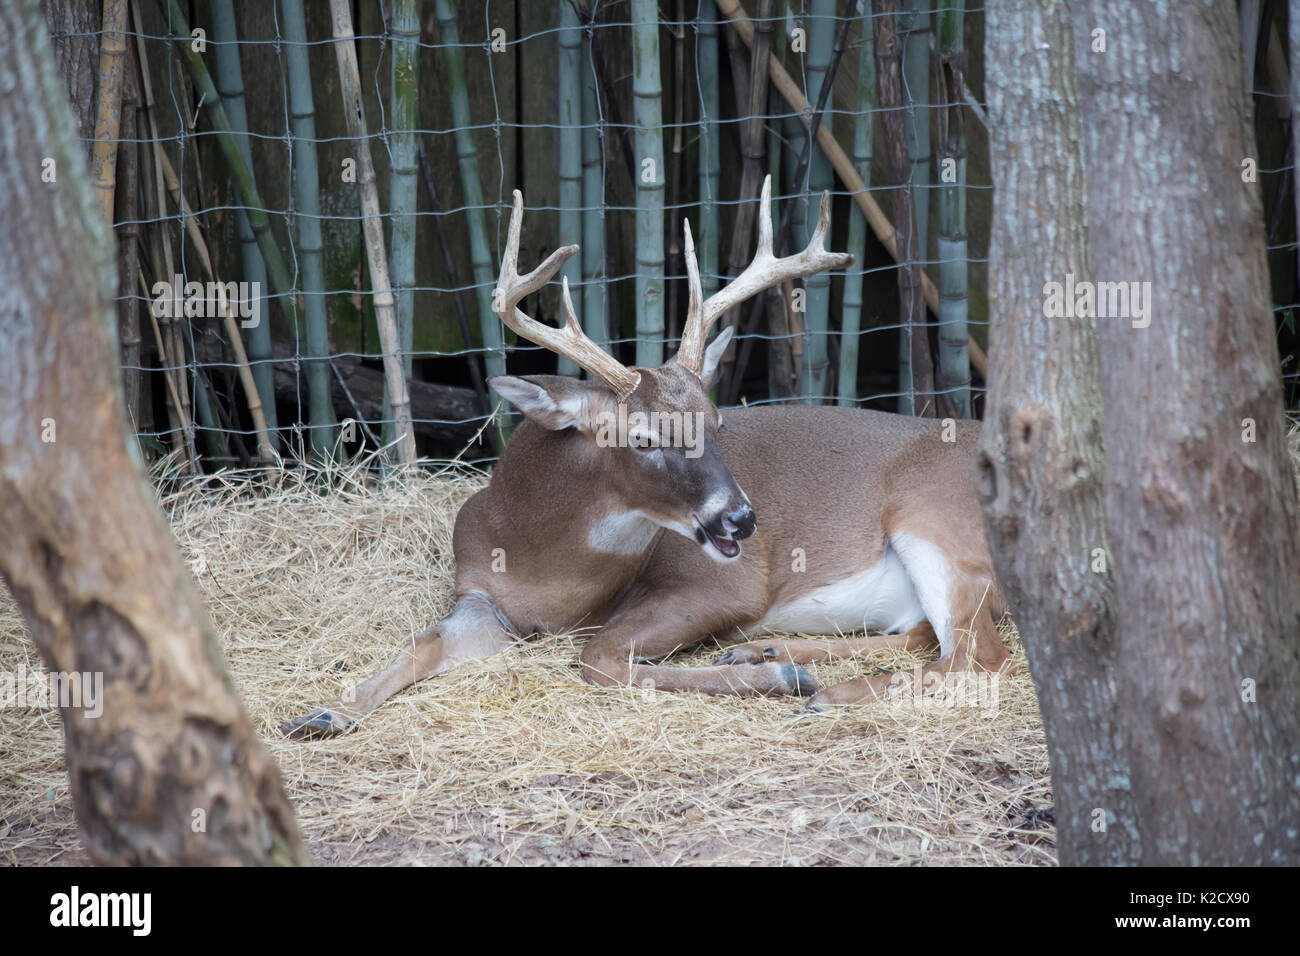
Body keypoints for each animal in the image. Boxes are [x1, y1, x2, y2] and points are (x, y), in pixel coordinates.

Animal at [282, 176, 1010, 739]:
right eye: (644, 439)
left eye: (716, 422)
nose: (742, 520)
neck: (549, 568)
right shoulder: (484, 598)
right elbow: (424, 642)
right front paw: (323, 712)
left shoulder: (722, 585)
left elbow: (598, 658)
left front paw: (778, 678)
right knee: (925, 635)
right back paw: (770, 648)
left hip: (935, 521)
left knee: (976, 657)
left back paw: (818, 687)